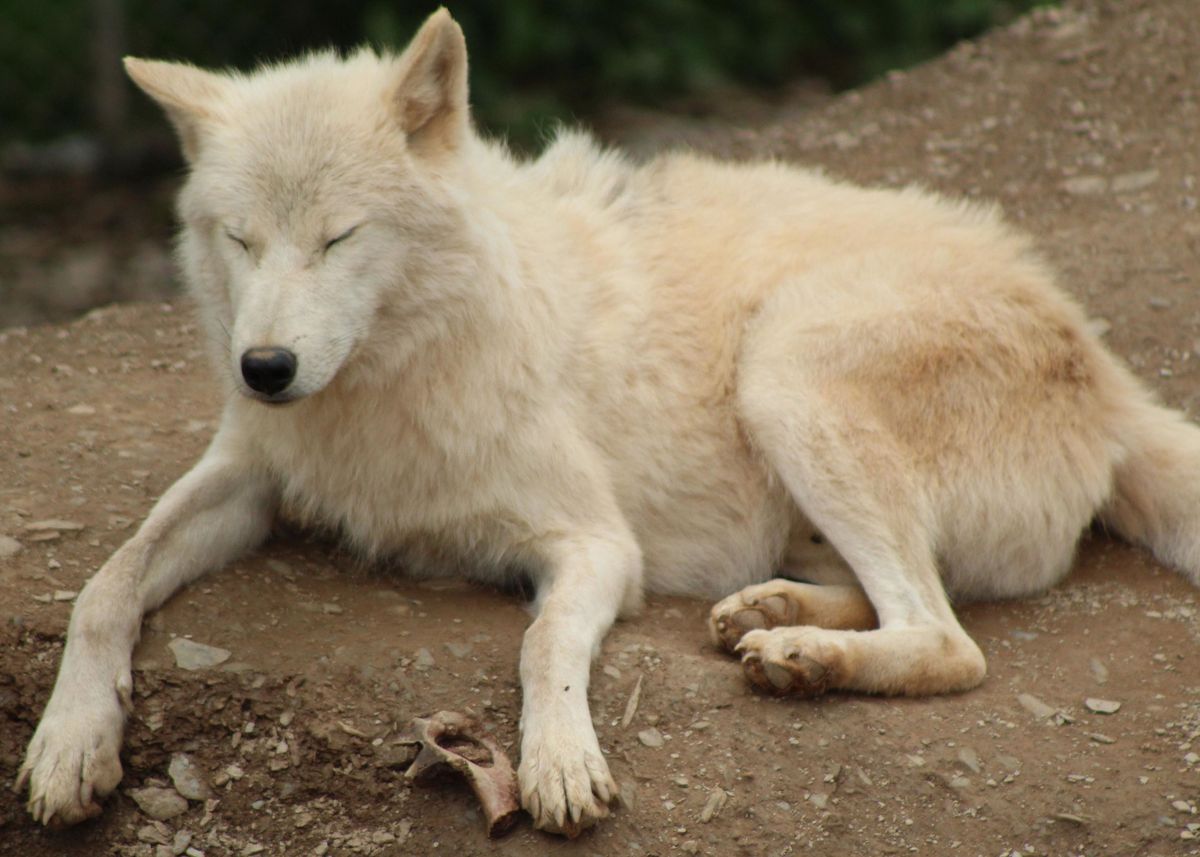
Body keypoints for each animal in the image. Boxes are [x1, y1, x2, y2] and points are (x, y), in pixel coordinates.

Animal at [18, 7, 1200, 837]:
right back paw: (772, 612)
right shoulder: (250, 469)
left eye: (338, 238)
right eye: (241, 239)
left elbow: (543, 643)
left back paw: (801, 652)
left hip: (784, 369)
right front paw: (70, 742)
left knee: (951, 640)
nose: (264, 368)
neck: (399, 371)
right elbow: (104, 584)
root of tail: (1102, 362)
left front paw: (557, 761)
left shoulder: (594, 539)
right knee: (909, 600)